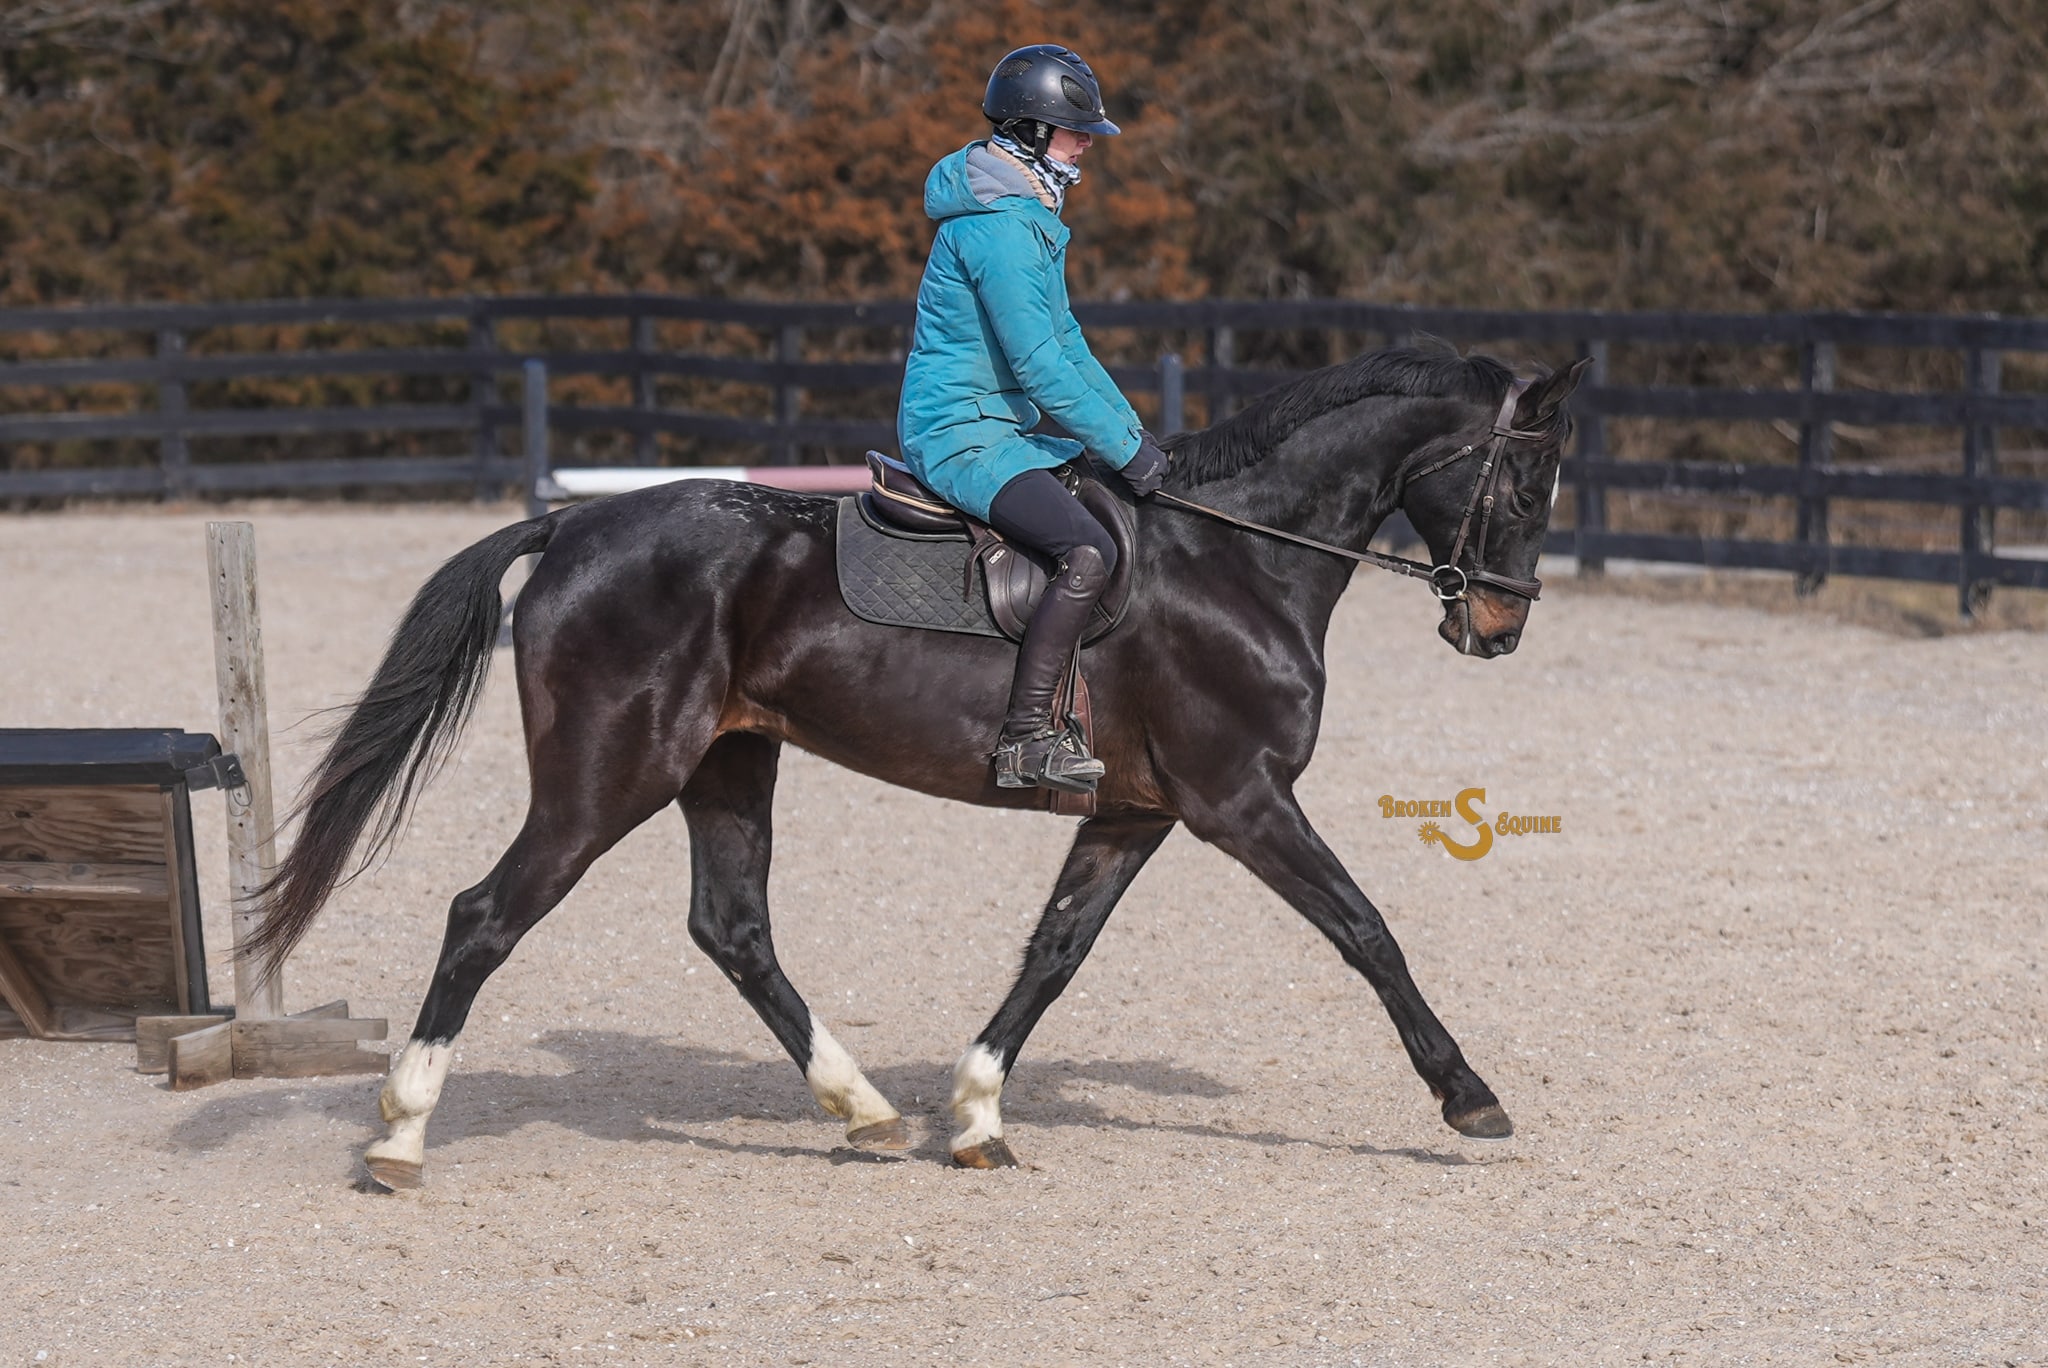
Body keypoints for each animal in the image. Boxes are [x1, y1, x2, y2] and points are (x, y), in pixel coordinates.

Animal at [246, 342, 1590, 1188]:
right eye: (1525, 477)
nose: (1498, 627)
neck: (1236, 559)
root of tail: (573, 525)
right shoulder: (1243, 802)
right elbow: (1367, 933)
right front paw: (1466, 1096)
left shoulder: (1137, 812)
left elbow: (1055, 951)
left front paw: (977, 1111)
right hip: (606, 776)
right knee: (486, 916)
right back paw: (400, 1139)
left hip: (726, 764)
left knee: (732, 928)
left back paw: (866, 1112)